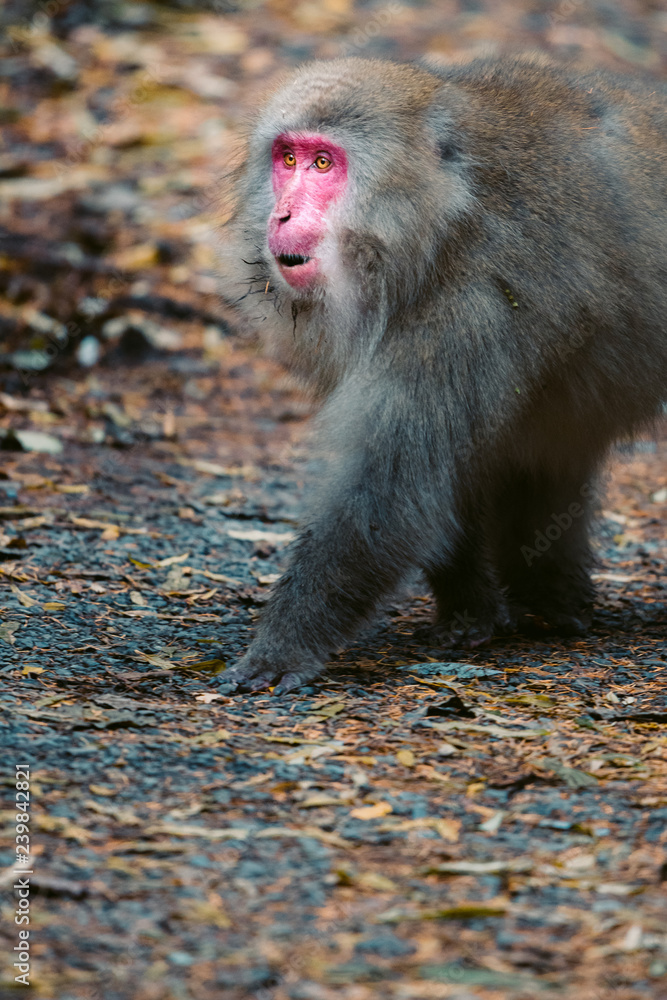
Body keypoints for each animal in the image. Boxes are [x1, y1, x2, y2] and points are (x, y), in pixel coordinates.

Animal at [217, 54, 666, 694]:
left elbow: (391, 490)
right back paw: (551, 598)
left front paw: (282, 648)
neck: (440, 226)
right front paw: (469, 611)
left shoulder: (469, 308)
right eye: (287, 159)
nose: (281, 213)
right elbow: (450, 469)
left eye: (324, 163)